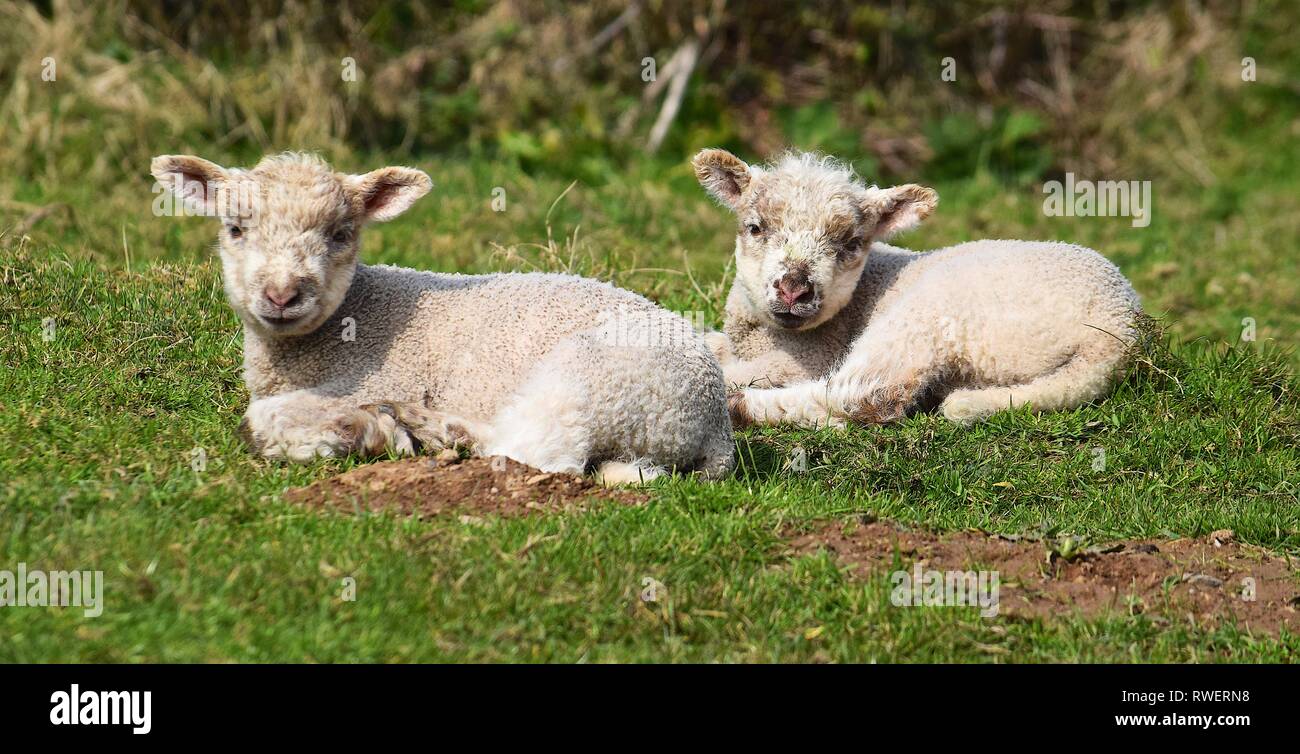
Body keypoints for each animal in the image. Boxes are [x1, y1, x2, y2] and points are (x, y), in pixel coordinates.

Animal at [151, 152, 734, 482]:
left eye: (341, 234)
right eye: (234, 229)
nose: (281, 295)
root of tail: (717, 432)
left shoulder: (381, 374)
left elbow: (257, 422)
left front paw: (357, 431)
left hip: (599, 379)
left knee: (539, 452)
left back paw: (427, 429)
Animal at [692, 149, 1143, 428]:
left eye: (851, 244)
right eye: (755, 227)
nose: (793, 290)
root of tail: (1118, 331)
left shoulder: (811, 355)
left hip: (932, 318)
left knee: (866, 394)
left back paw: (740, 408)